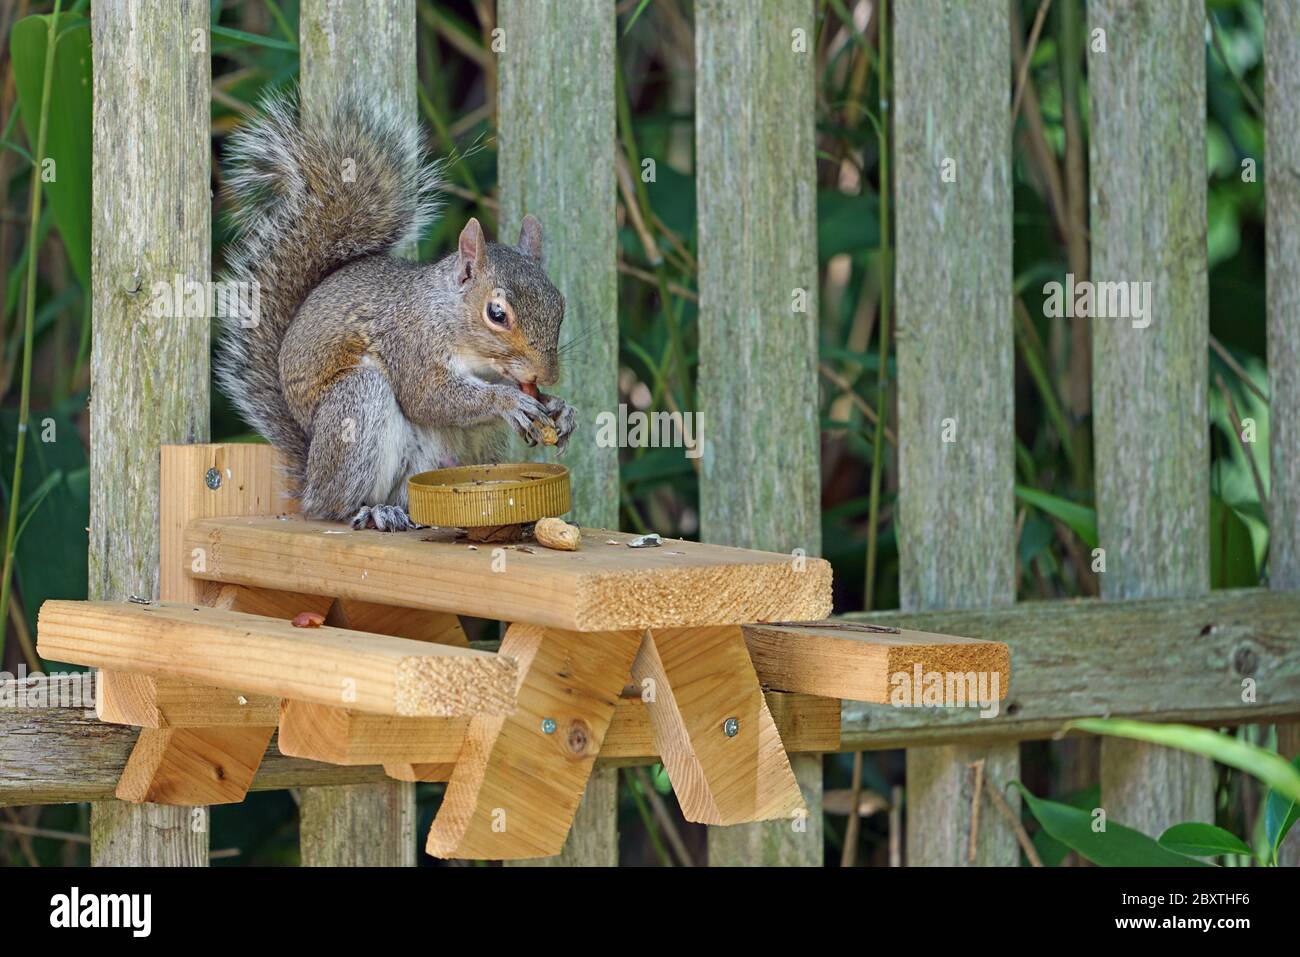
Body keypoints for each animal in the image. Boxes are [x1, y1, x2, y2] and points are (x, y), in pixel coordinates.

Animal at [215, 96, 576, 531]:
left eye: (559, 303)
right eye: (497, 313)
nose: (547, 375)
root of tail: (311, 475)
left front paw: (560, 408)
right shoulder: (411, 344)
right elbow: (427, 397)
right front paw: (508, 402)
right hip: (357, 405)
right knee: (334, 505)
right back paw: (371, 511)